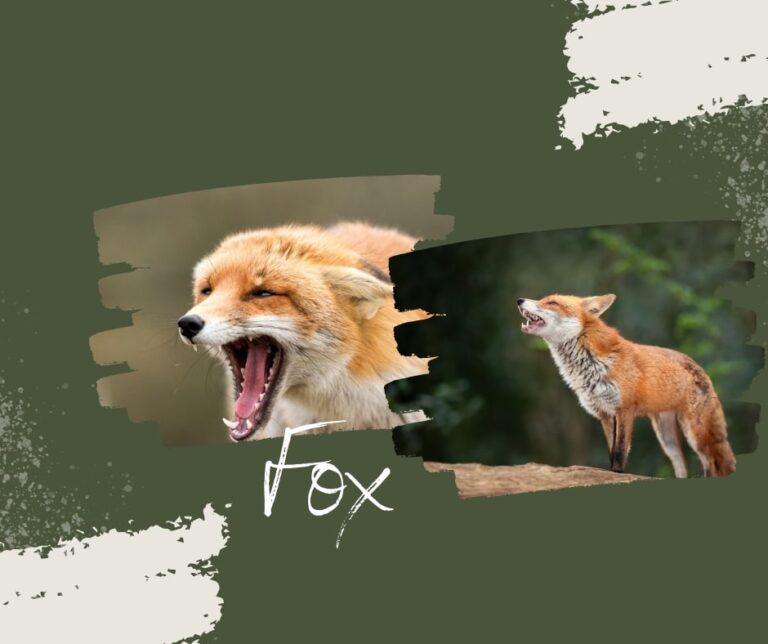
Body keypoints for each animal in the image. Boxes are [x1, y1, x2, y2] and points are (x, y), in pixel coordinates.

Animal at [517, 293, 736, 478]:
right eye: (543, 299)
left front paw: (618, 474)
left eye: (552, 302)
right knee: (682, 467)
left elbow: (620, 451)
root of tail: (700, 368)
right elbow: (610, 450)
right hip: (666, 438)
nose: (519, 300)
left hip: (695, 433)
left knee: (710, 464)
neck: (592, 364)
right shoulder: (604, 414)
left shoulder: (625, 410)